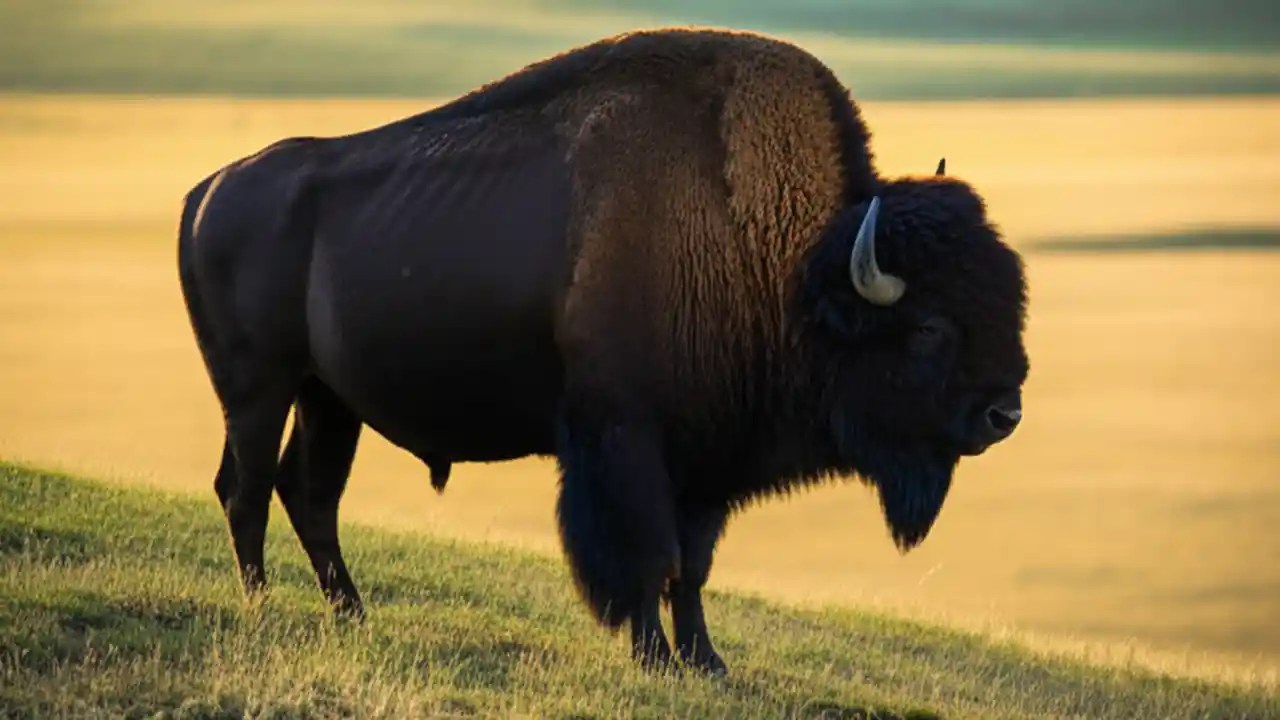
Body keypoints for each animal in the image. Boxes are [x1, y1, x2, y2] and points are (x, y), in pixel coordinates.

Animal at [178, 28, 1028, 675]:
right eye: (929, 327)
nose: (1004, 414)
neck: (783, 260)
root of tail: (208, 191)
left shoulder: (707, 460)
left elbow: (693, 567)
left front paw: (707, 664)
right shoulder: (625, 440)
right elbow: (648, 558)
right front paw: (655, 659)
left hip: (329, 401)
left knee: (309, 494)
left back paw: (354, 616)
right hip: (257, 388)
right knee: (246, 488)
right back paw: (262, 606)